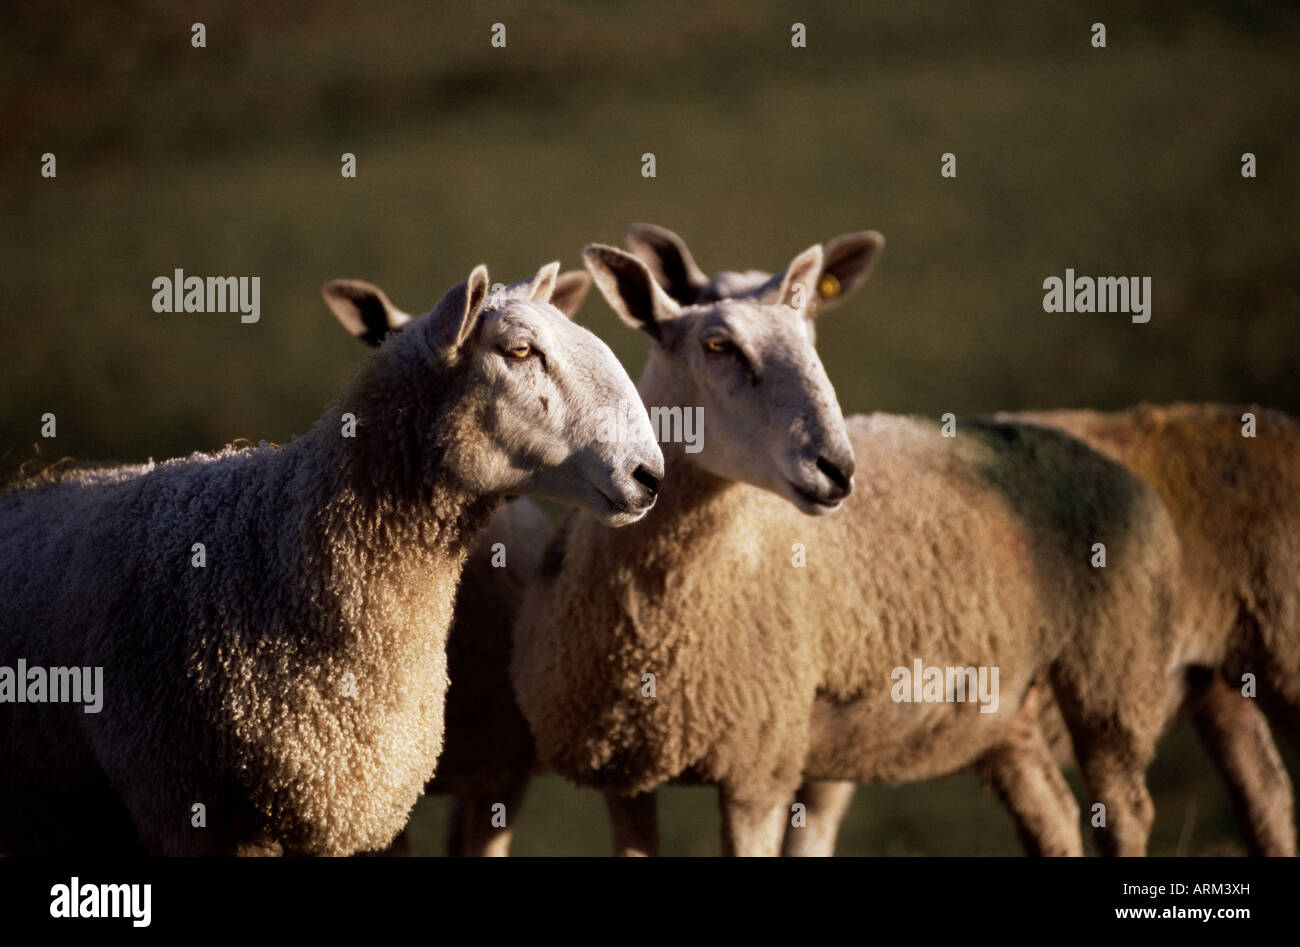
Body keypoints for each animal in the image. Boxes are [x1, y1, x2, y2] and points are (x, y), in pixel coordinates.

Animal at [510, 241, 1184, 856]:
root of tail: (1090, 447)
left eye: (812, 339)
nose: (836, 467)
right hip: (1009, 713)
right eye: (719, 345)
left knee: (1126, 811)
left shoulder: (760, 769)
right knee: (1055, 815)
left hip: (1113, 675)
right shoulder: (620, 773)